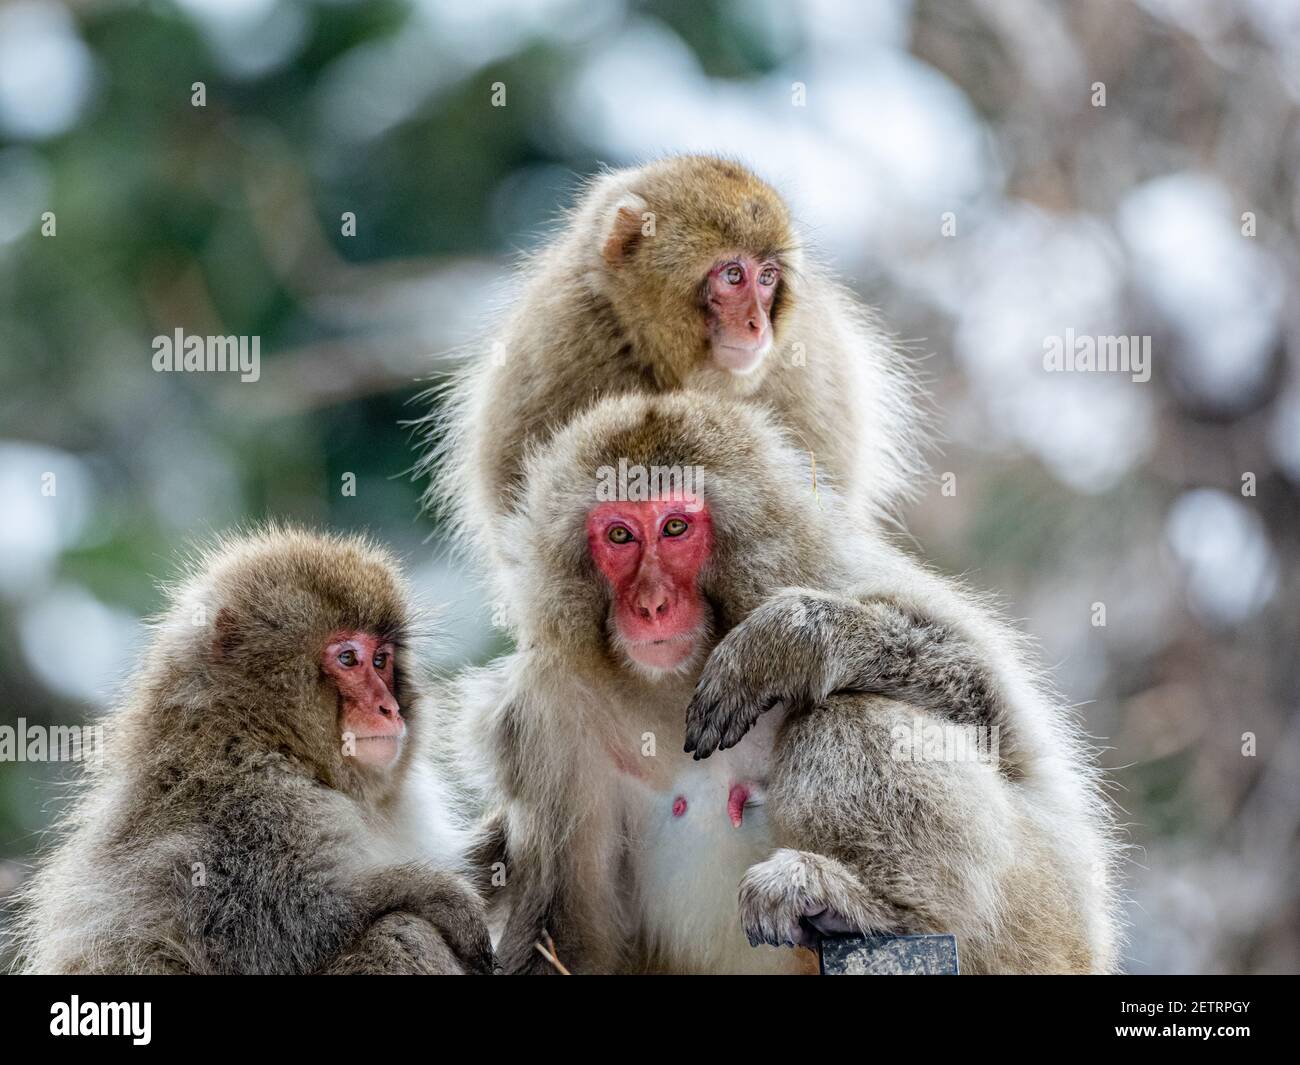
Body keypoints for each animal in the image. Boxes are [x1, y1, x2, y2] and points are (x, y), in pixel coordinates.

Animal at [11, 527, 495, 975]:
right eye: (348, 659)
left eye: (381, 661)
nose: (389, 708)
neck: (259, 734)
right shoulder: (251, 807)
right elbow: (268, 932)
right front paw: (434, 892)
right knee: (400, 932)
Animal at [450, 392, 1118, 974]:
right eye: (619, 536)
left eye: (674, 528)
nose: (651, 605)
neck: (671, 685)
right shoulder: (545, 713)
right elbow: (569, 935)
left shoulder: (830, 568)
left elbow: (997, 718)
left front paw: (784, 645)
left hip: (1041, 923)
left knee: (850, 715)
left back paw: (870, 907)